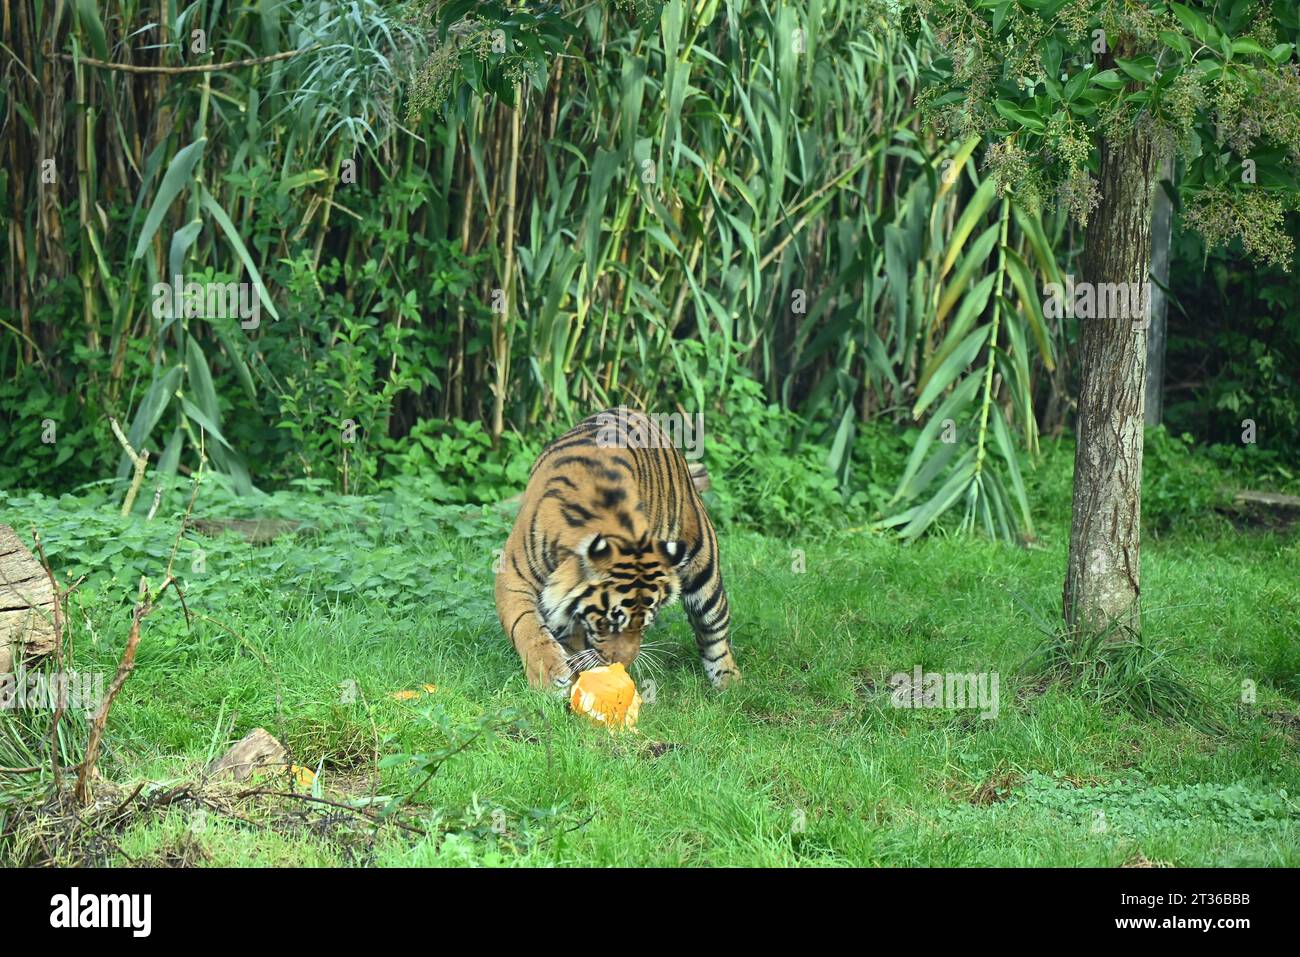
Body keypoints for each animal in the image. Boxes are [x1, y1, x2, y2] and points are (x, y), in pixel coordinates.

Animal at [494, 408, 740, 693]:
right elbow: (525, 626)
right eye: (607, 623)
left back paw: (730, 682)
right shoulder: (512, 575)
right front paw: (549, 674)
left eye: (645, 624)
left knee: (715, 629)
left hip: (703, 563)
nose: (622, 664)